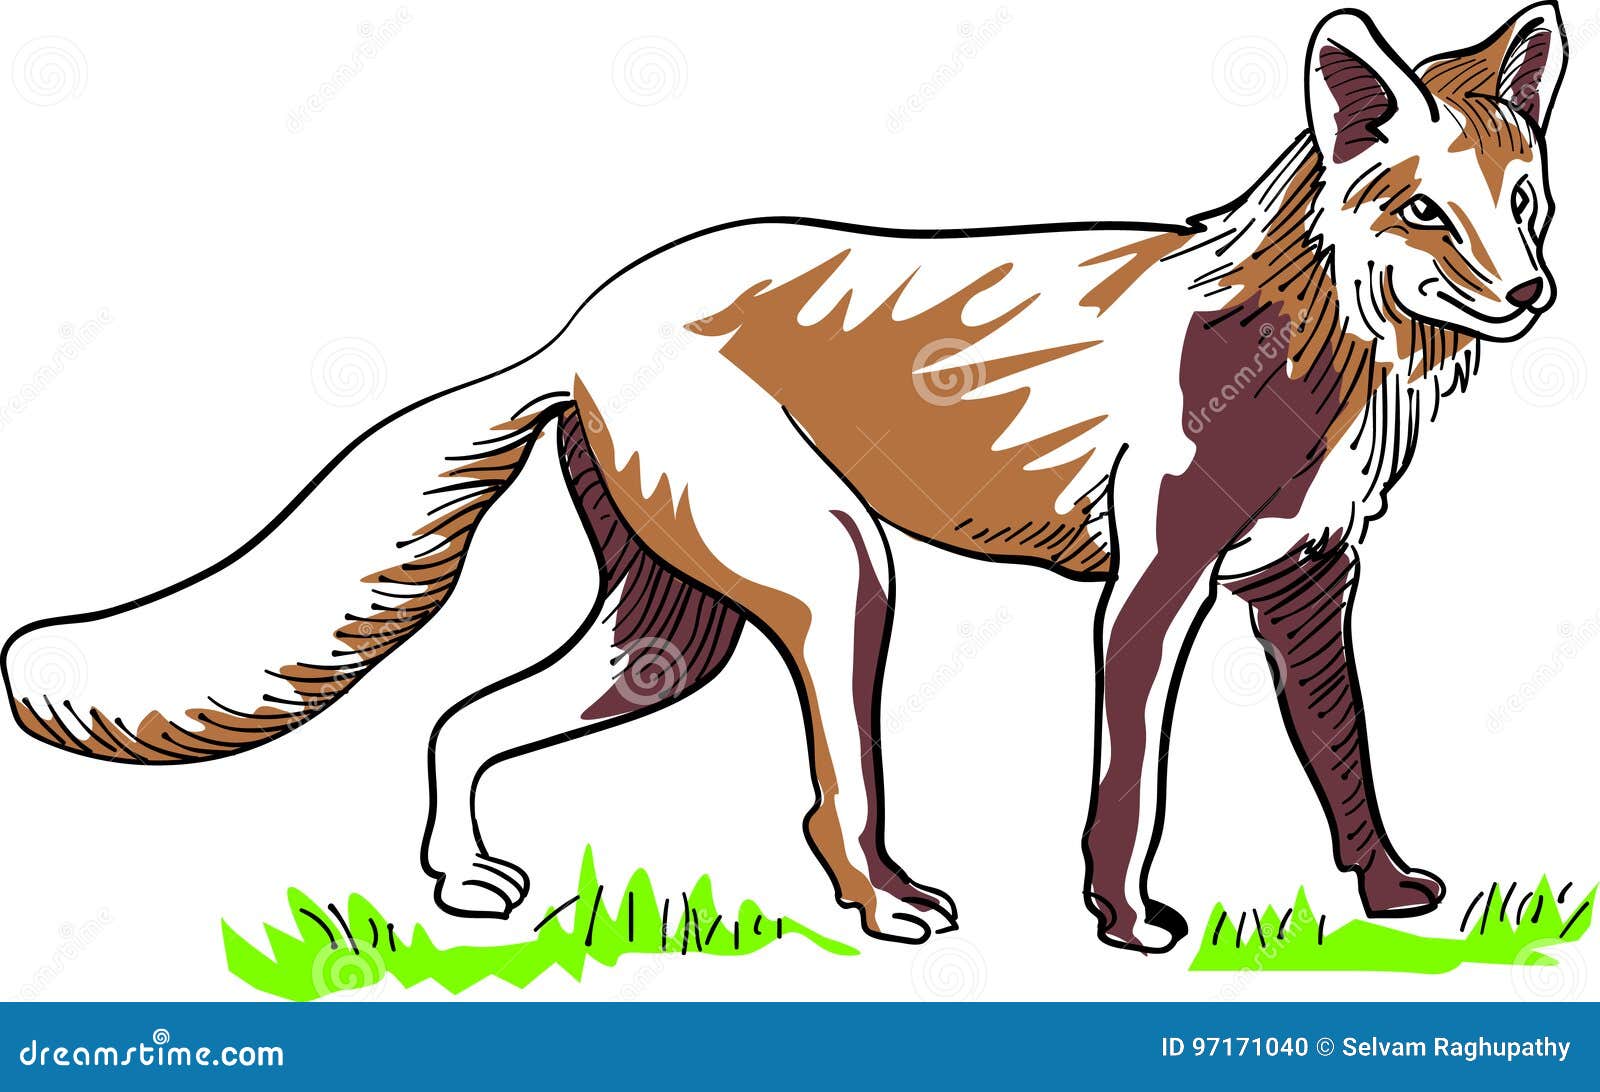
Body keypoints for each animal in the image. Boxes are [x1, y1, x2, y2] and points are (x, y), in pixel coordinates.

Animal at [2, 4, 1568, 953]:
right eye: (1426, 214)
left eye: (1522, 204)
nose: (1534, 297)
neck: (1315, 344)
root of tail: (580, 323)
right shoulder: (1152, 585)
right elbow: (1130, 786)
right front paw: (1123, 926)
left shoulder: (1304, 585)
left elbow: (1348, 757)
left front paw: (1392, 897)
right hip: (837, 582)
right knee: (828, 804)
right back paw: (887, 910)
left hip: (664, 641)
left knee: (459, 718)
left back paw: (460, 884)